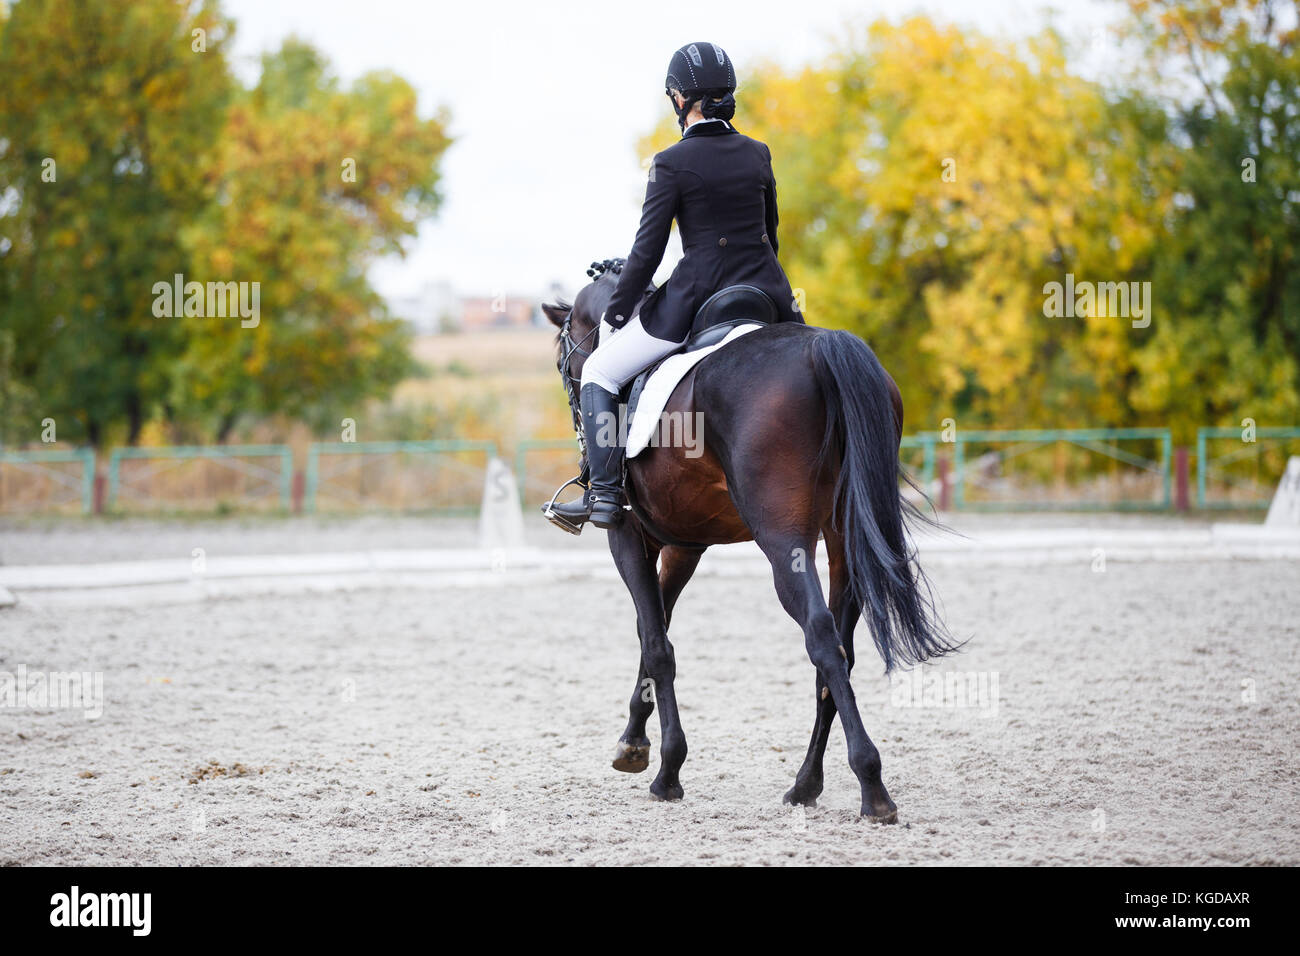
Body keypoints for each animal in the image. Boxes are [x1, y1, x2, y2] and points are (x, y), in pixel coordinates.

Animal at [541, 262, 959, 822]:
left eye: (562, 357)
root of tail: (821, 347)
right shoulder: (684, 545)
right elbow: (655, 629)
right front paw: (633, 743)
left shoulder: (628, 536)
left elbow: (656, 642)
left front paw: (666, 771)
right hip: (843, 544)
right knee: (840, 652)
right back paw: (805, 785)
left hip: (783, 541)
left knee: (821, 638)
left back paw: (872, 788)